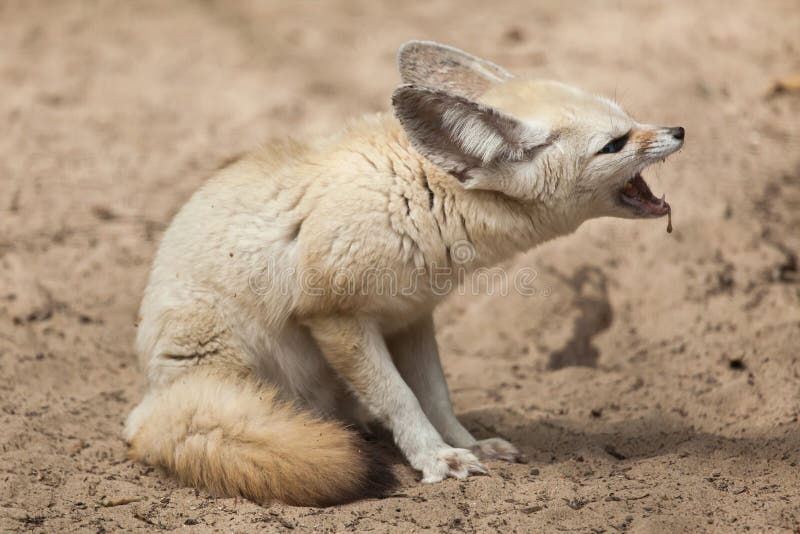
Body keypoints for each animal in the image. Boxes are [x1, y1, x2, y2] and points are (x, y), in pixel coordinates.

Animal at [124, 40, 684, 507]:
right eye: (615, 143)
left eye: (630, 118)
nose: (679, 130)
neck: (422, 194)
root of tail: (152, 402)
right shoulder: (337, 317)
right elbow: (401, 397)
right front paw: (435, 458)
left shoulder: (413, 318)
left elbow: (436, 395)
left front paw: (467, 445)